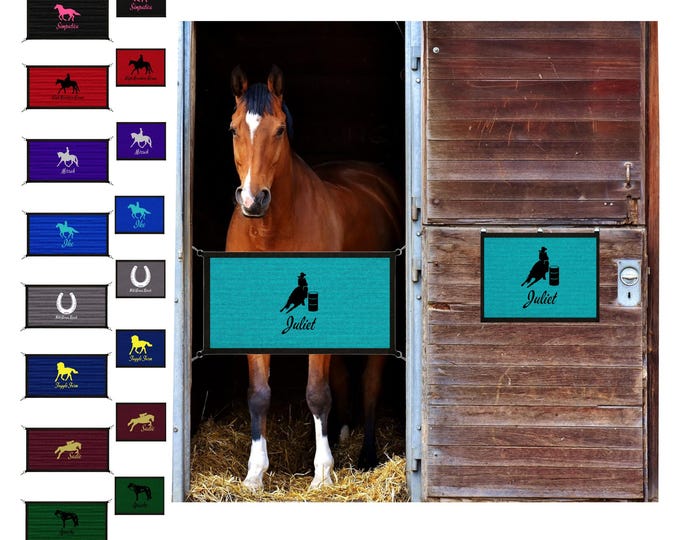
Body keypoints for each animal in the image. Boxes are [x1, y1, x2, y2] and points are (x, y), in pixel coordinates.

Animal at [224, 65, 402, 490]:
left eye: (279, 130)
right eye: (233, 129)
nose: (253, 200)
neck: (271, 231)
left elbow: (318, 393)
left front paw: (322, 474)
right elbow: (259, 394)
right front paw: (254, 474)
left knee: (369, 383)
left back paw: (365, 455)